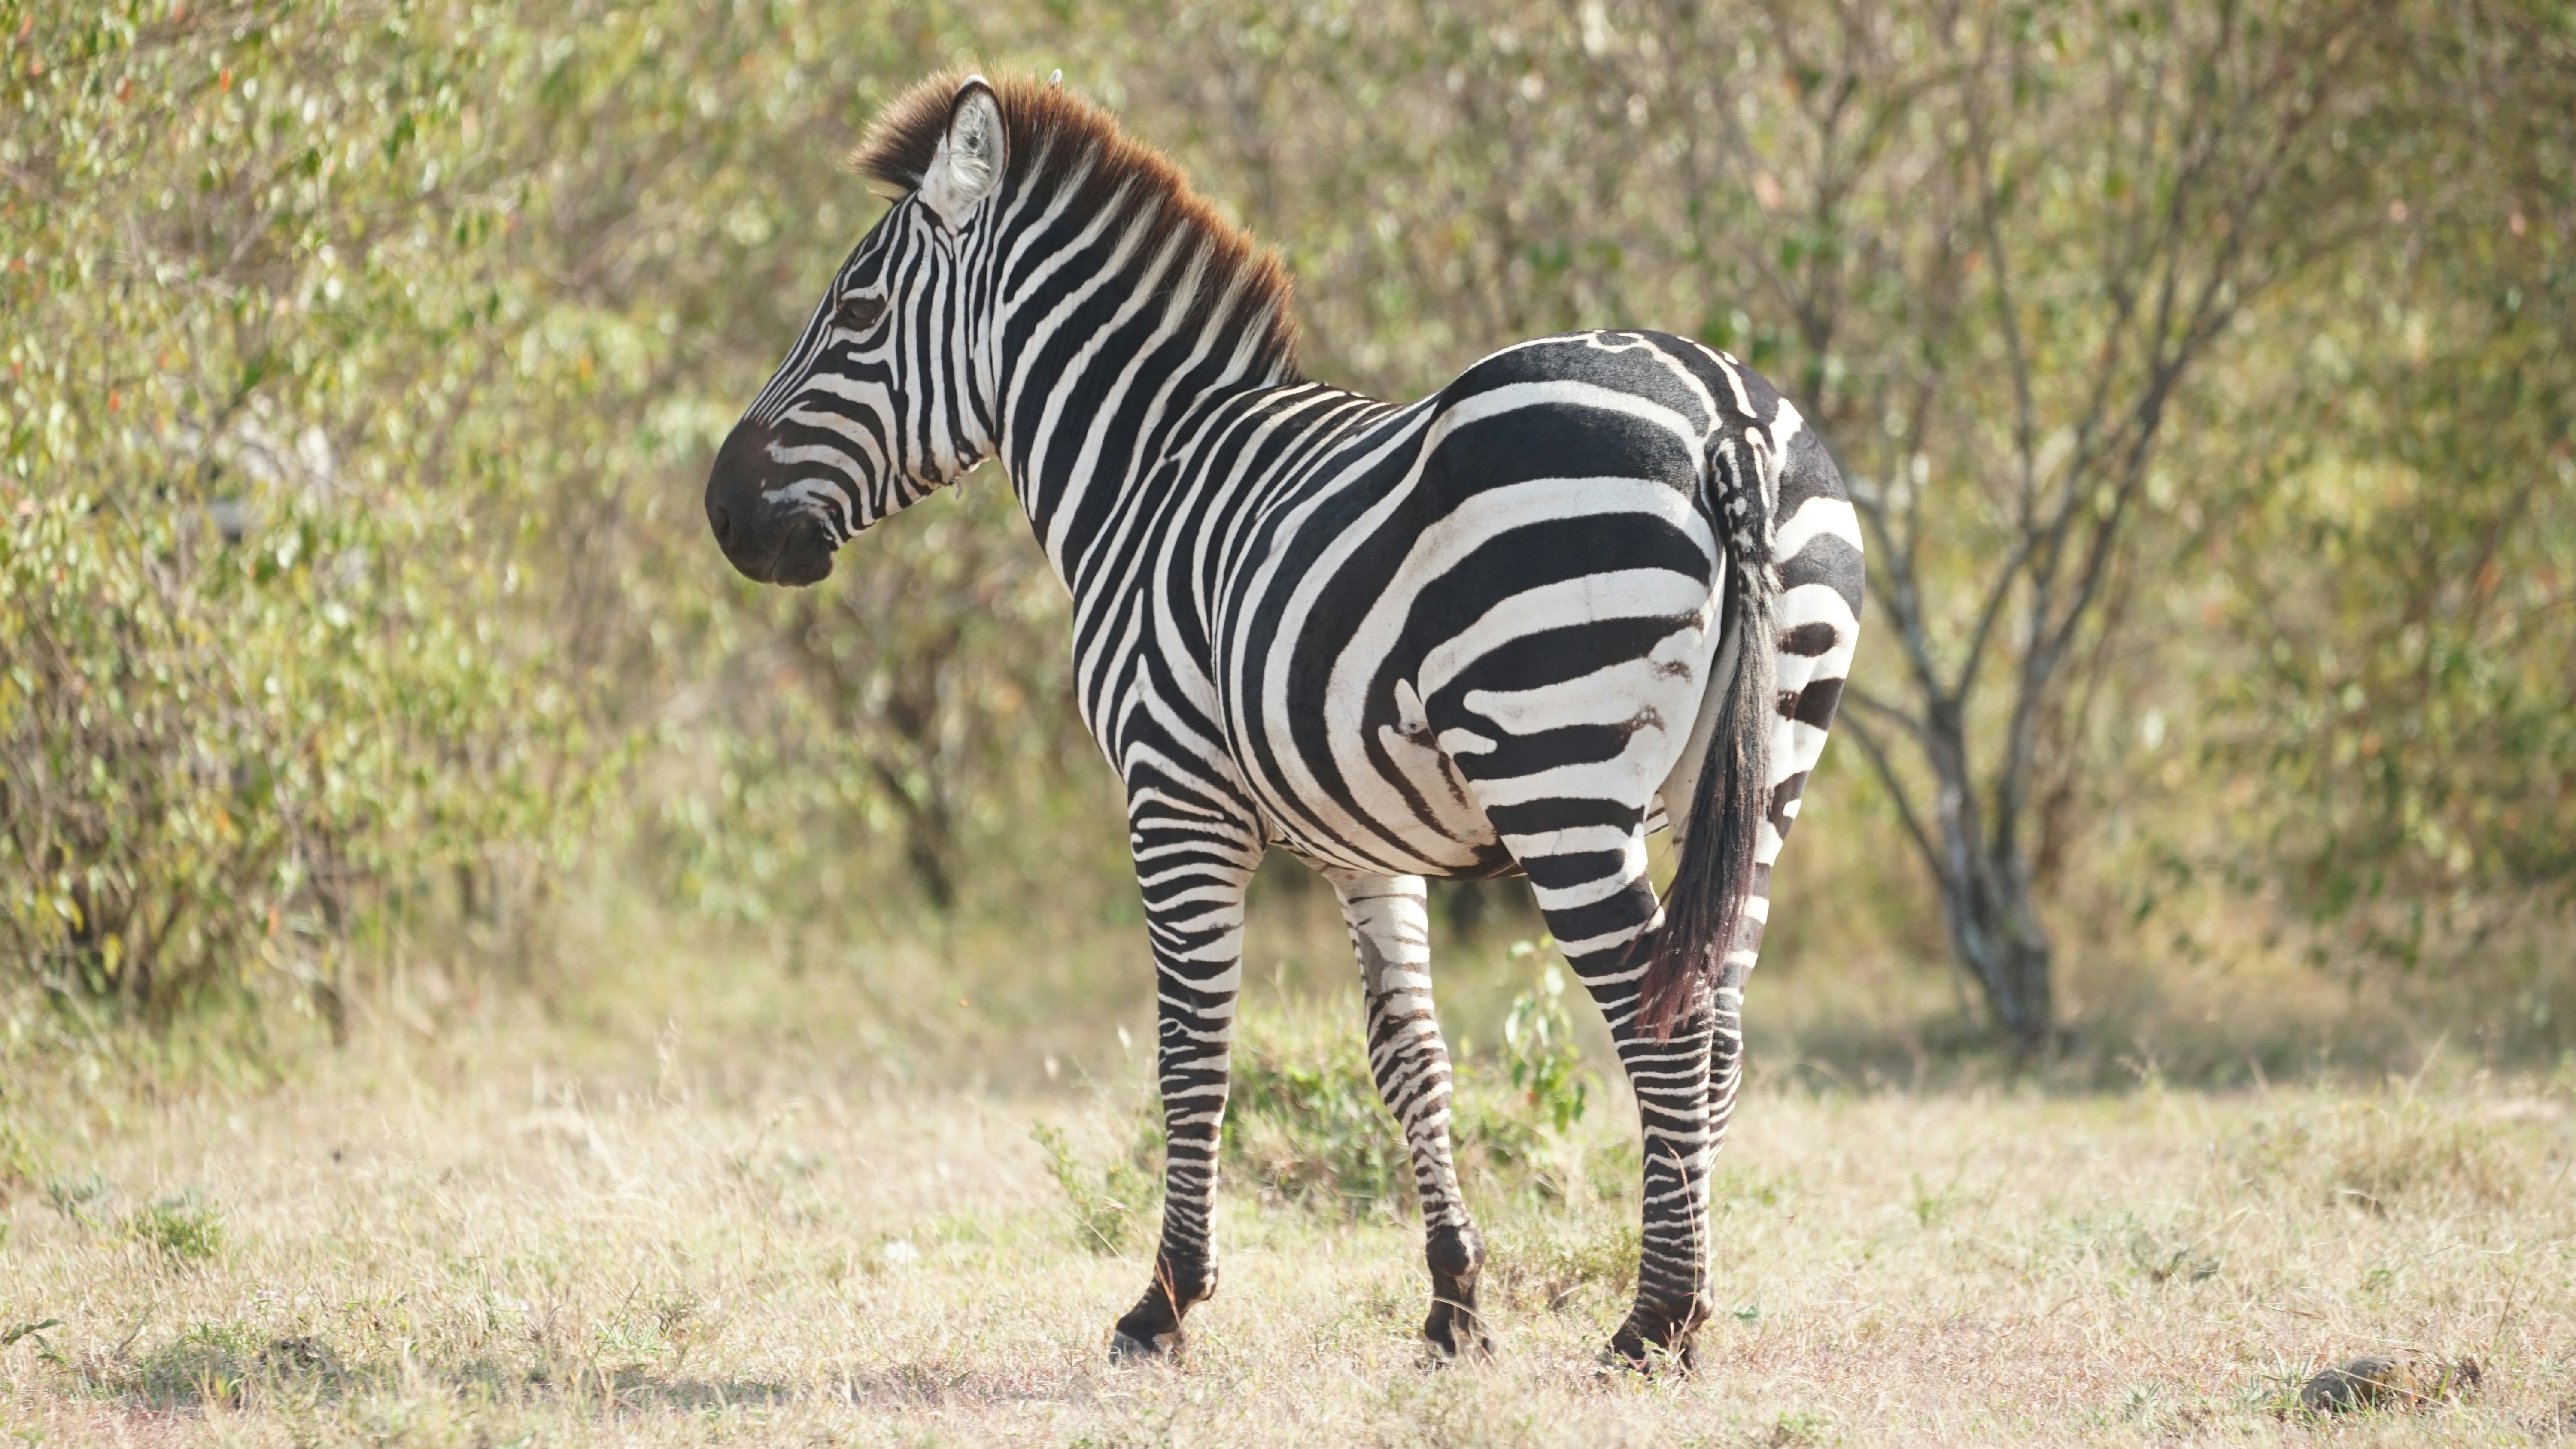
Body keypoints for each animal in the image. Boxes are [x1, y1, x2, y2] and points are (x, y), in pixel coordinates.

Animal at [704, 72, 1863, 1371]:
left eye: (855, 310)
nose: (721, 513)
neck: (1144, 473)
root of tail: (1722, 411)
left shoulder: (1172, 792)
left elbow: (1191, 1048)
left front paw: (1164, 1302)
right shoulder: (1371, 841)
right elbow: (1409, 1055)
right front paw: (1454, 1305)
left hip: (1557, 774)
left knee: (1663, 1023)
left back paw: (1654, 1319)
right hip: (1769, 771)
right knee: (1720, 1027)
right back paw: (1688, 1299)